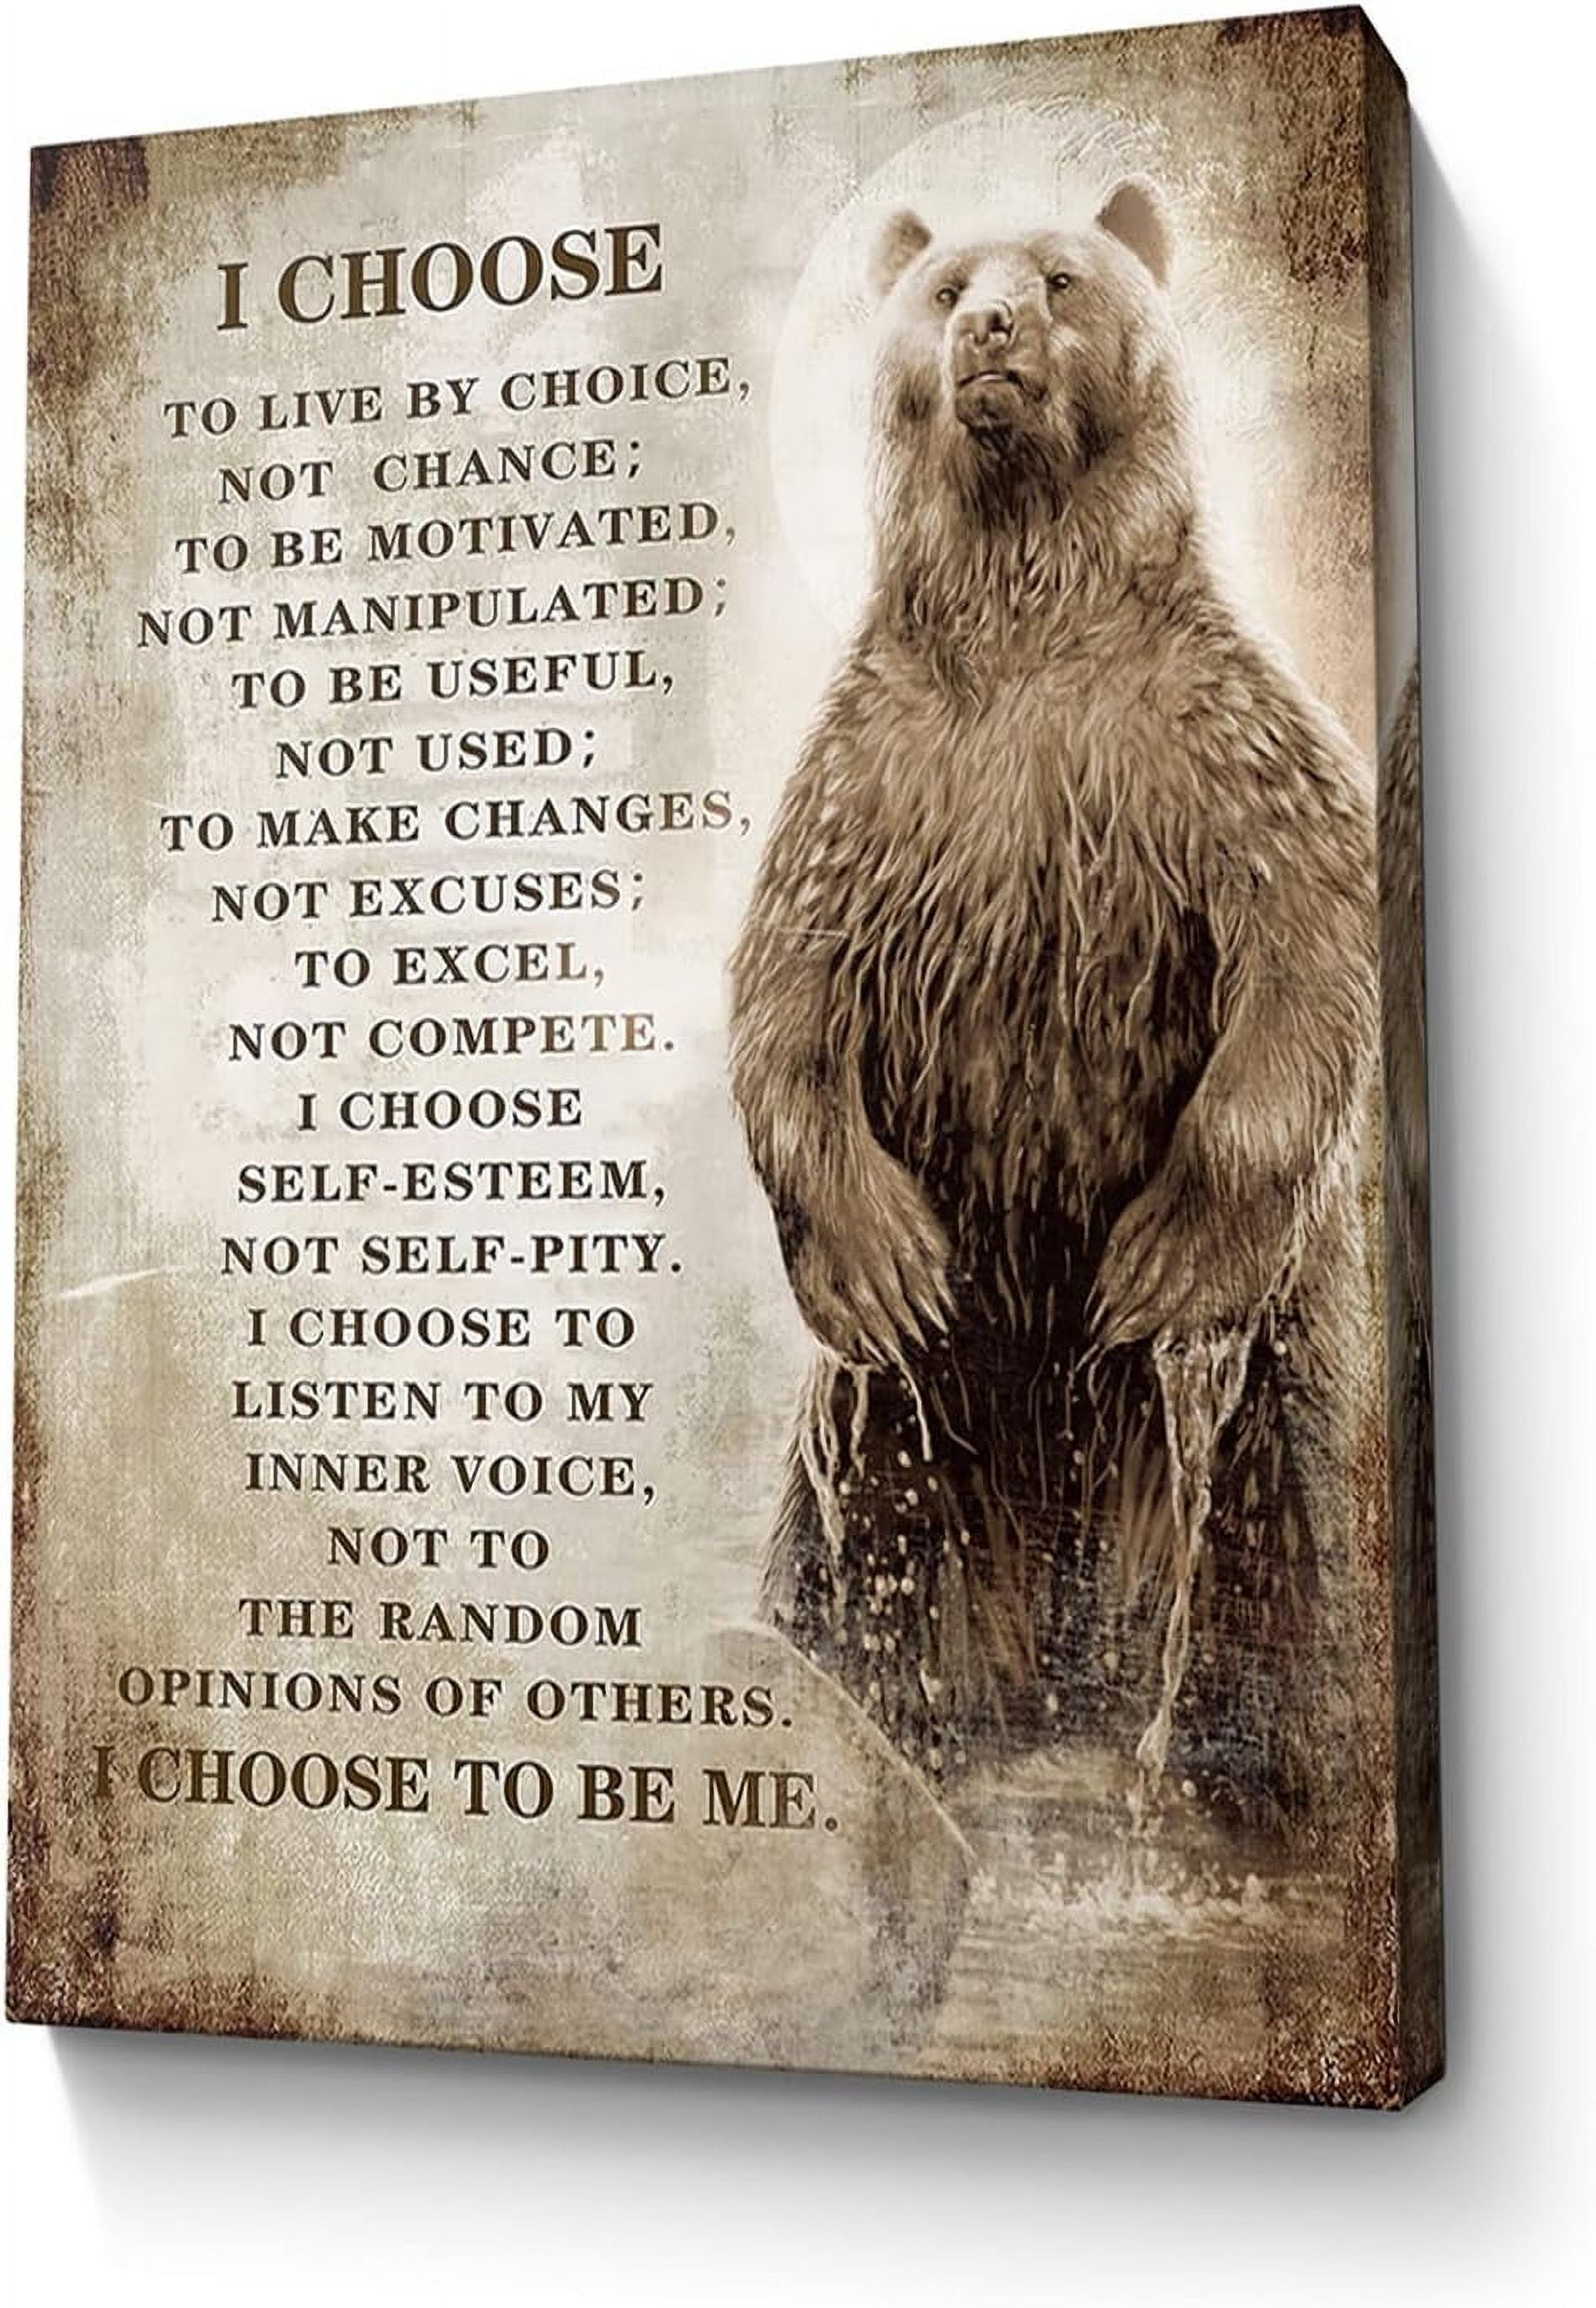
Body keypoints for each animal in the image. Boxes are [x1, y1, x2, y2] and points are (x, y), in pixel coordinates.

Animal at [729, 180, 1378, 1819]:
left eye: (1065, 276)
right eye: (946, 280)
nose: (991, 330)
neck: (1030, 605)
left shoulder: (1209, 747)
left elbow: (1309, 945)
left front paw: (1155, 1255)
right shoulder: (877, 779)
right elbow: (784, 996)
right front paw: (884, 1257)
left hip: (1280, 1384)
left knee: (1280, 1546)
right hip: (928, 1439)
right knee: (868, 1529)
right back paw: (892, 1702)